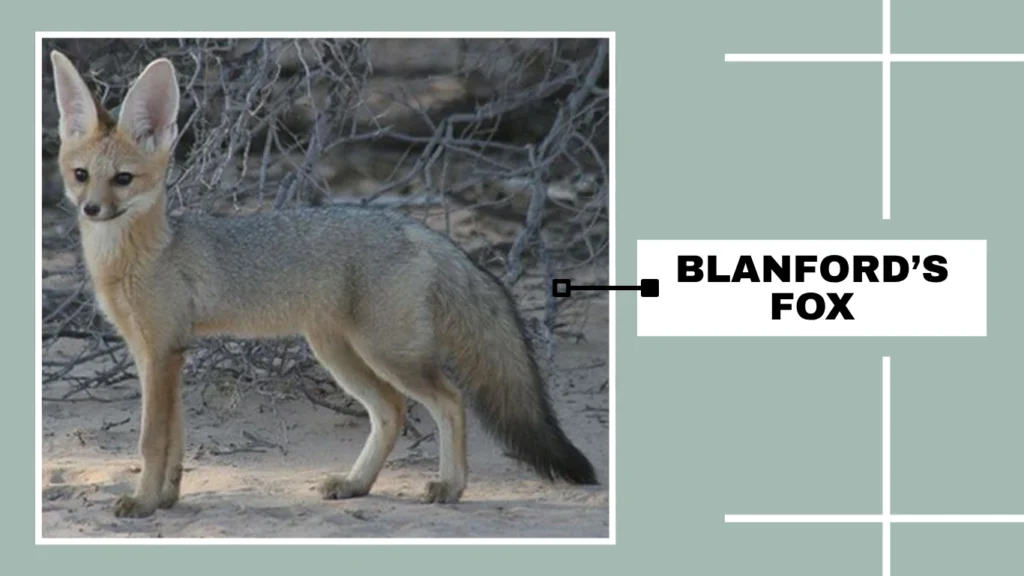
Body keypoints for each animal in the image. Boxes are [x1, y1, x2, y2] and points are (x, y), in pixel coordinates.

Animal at [47, 50, 598, 518]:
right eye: (80, 175)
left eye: (122, 179)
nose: (91, 210)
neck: (145, 255)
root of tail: (412, 226)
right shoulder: (160, 355)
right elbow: (174, 440)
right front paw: (165, 498)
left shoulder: (161, 353)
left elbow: (150, 441)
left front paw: (141, 503)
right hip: (339, 353)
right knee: (391, 411)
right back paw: (357, 484)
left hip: (387, 354)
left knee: (449, 401)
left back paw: (451, 487)